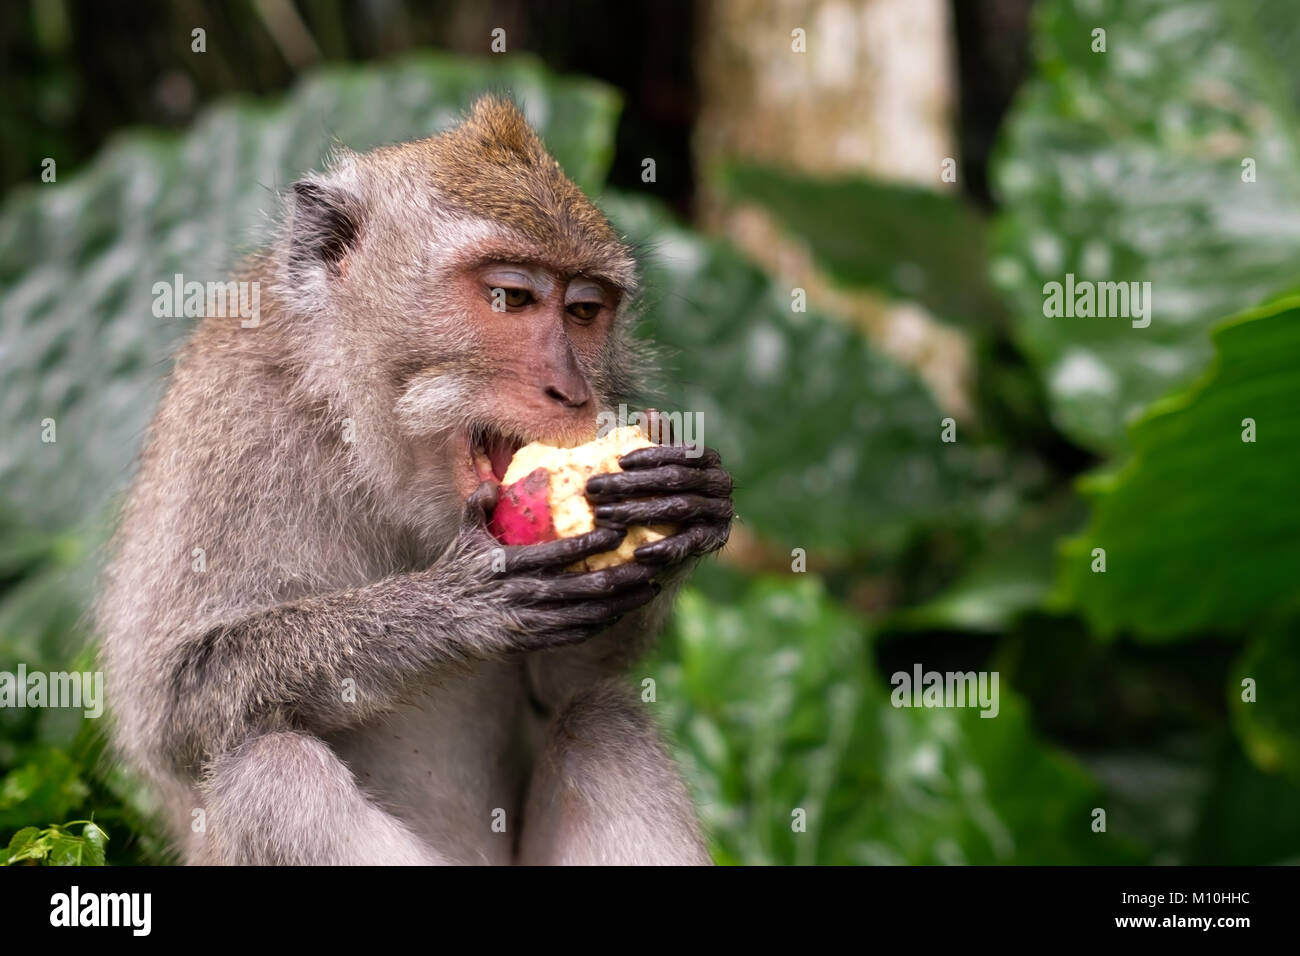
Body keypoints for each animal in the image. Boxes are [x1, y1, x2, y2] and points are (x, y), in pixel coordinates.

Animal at [95, 95, 733, 865]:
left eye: (584, 311)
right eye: (510, 297)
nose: (572, 391)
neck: (358, 437)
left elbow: (564, 688)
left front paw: (683, 502)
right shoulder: (228, 418)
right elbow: (166, 704)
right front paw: (452, 607)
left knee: (603, 725)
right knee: (271, 774)